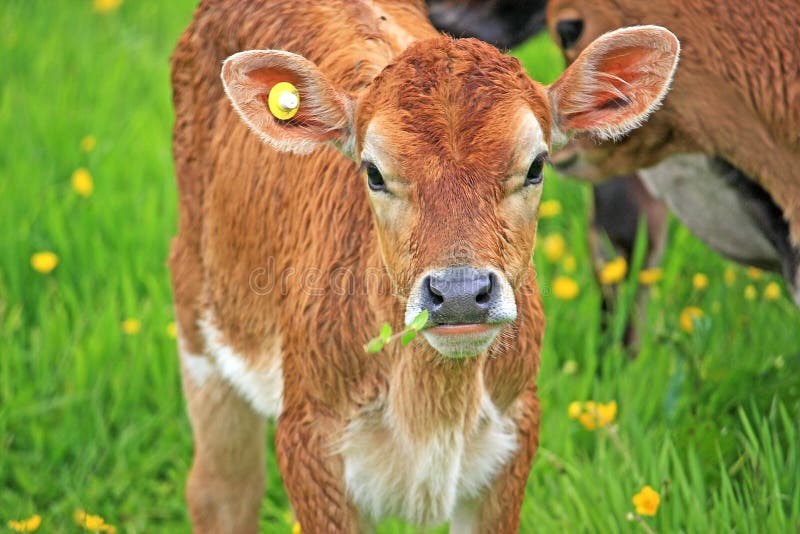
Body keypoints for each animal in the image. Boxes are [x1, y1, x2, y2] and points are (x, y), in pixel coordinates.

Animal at [169, 1, 679, 531]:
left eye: (537, 165)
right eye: (373, 172)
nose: (459, 293)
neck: (433, 409)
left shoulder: (515, 433)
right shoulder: (308, 443)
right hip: (196, 317)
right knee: (222, 491)